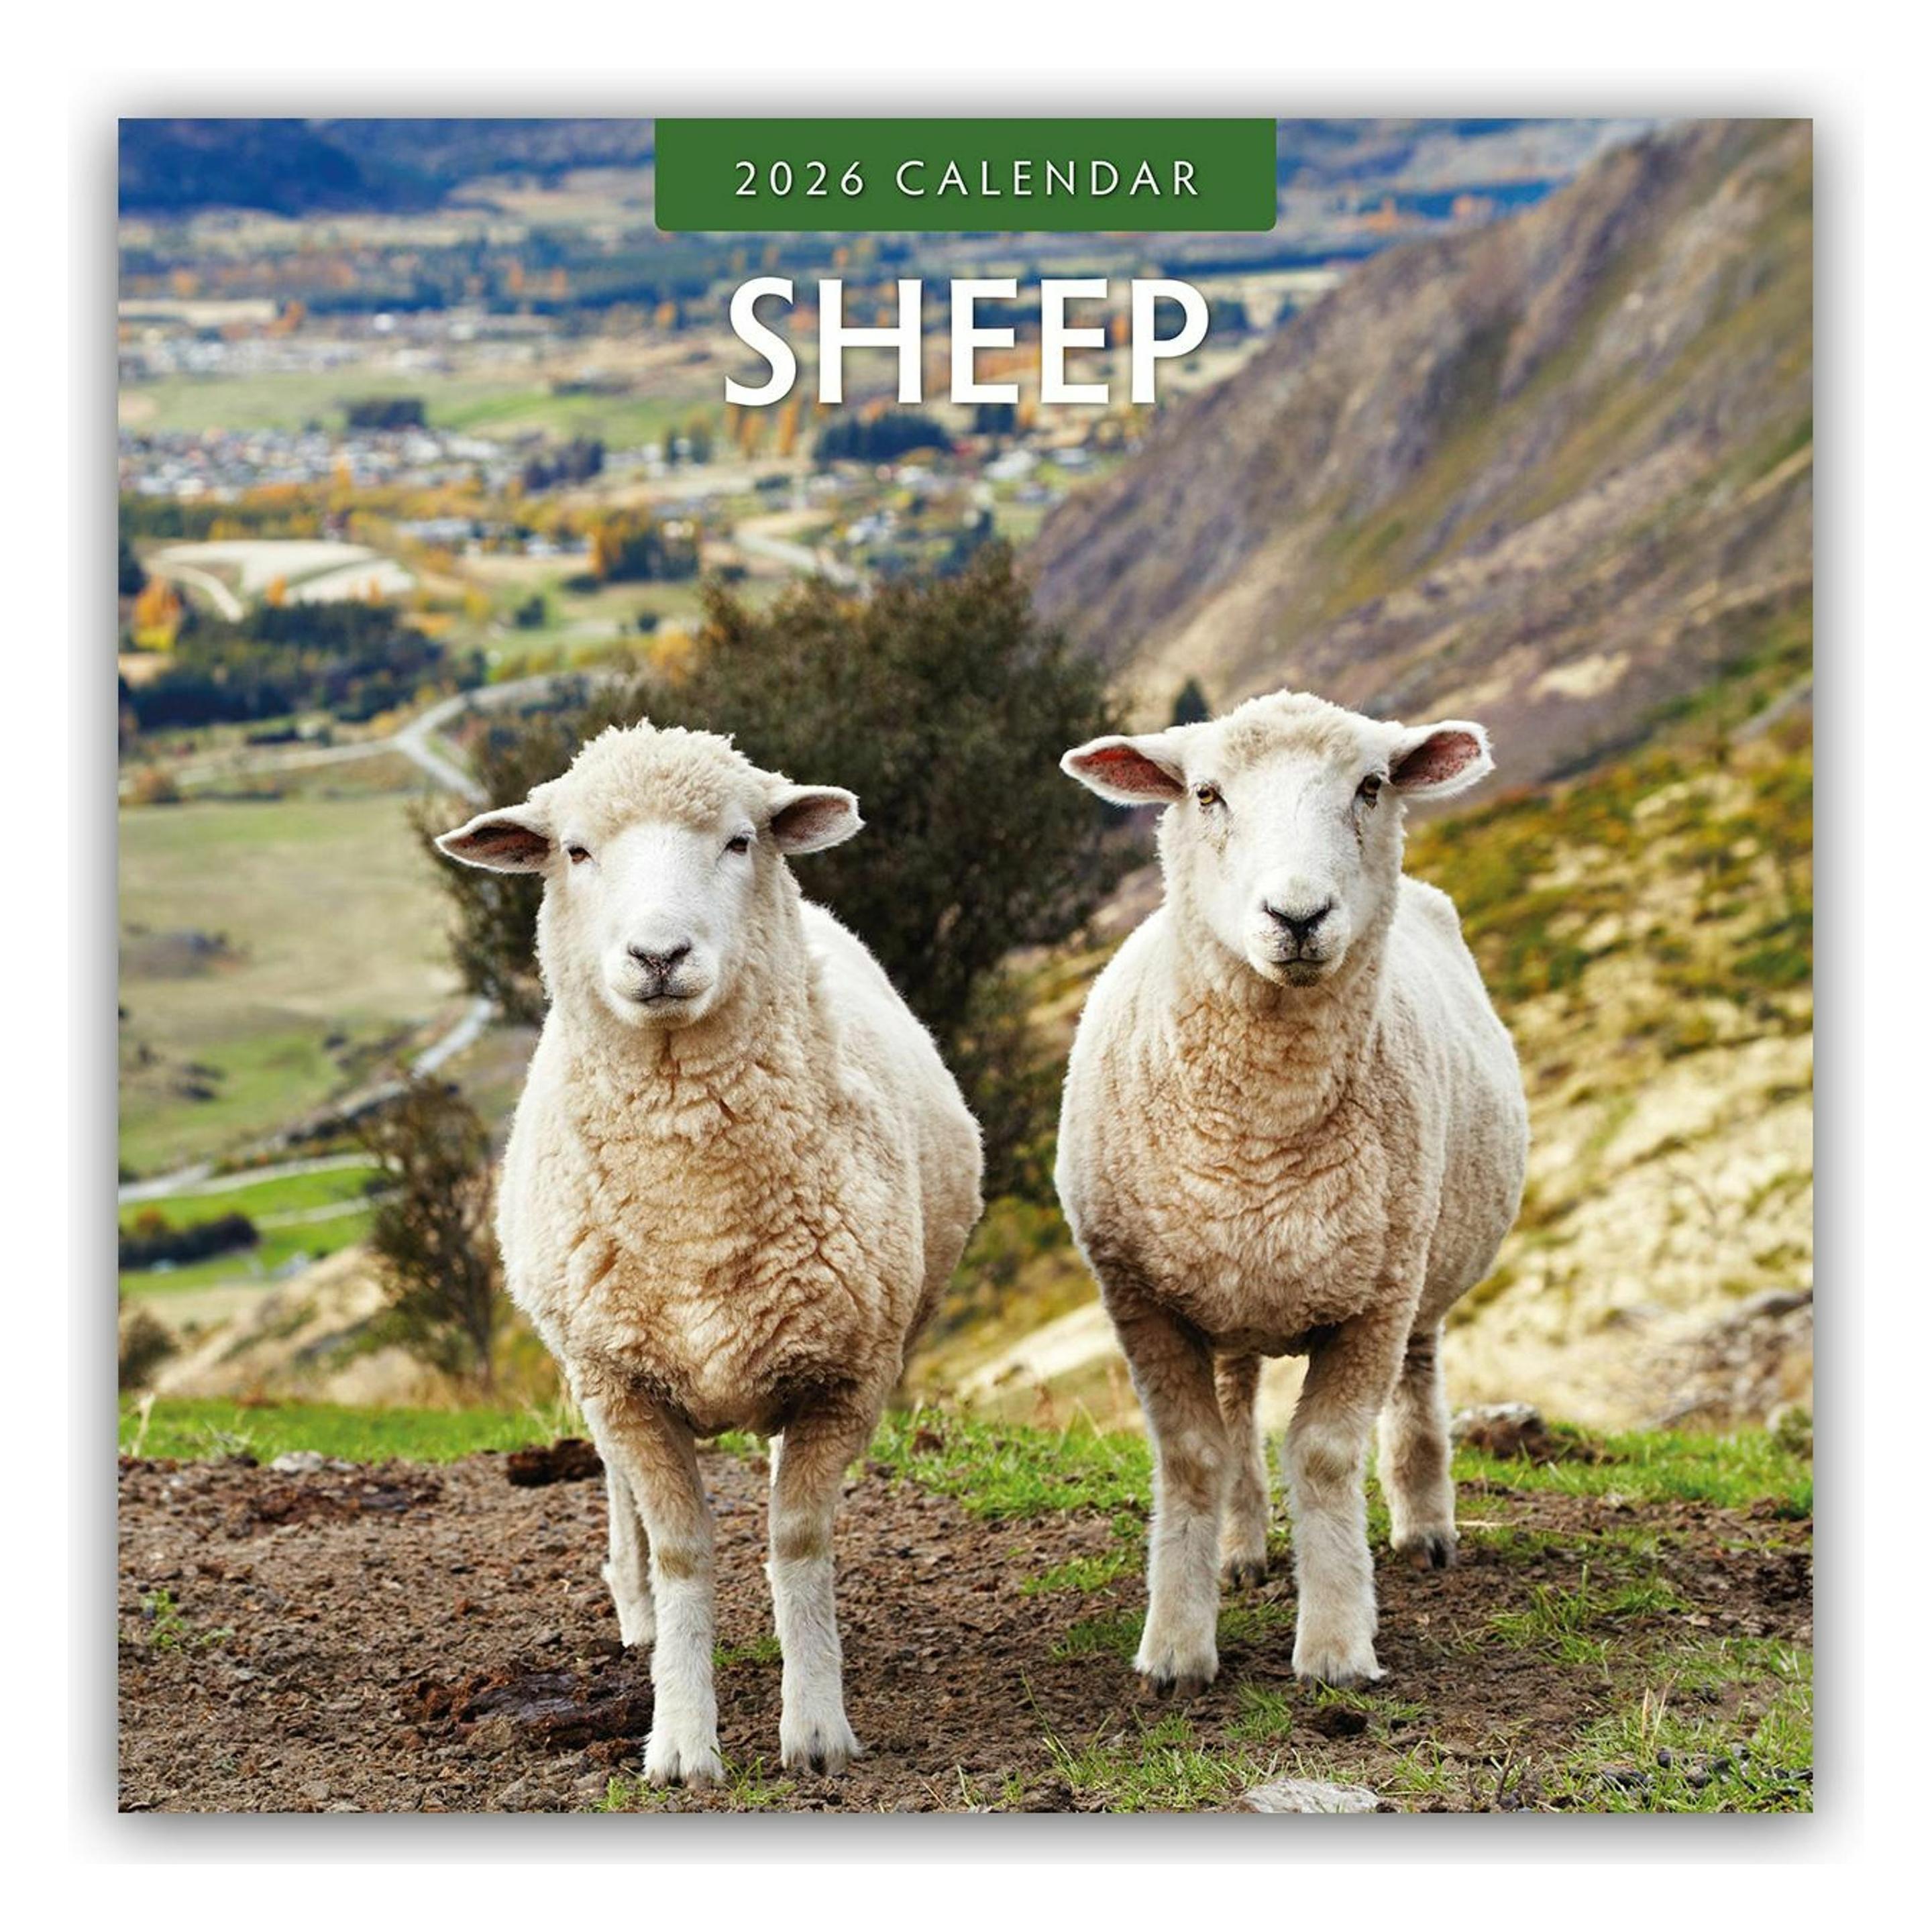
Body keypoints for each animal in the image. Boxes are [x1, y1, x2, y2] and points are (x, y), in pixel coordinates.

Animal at [437, 721, 983, 1785]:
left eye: (739, 841)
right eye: (575, 851)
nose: (659, 955)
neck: (698, 1215)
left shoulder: (845, 1374)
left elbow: (799, 1536)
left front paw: (815, 1727)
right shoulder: (621, 1382)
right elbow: (683, 1547)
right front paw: (682, 1739)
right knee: (622, 1504)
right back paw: (638, 1611)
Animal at [1055, 690, 1528, 1691]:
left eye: (1372, 785)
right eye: (1205, 793)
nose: (1299, 914)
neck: (1264, 1136)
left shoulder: (1376, 1300)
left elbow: (1323, 1455)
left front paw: (1338, 1644)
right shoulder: (1142, 1299)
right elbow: (1194, 1455)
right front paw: (1177, 1645)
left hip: (1422, 1264)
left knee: (1418, 1382)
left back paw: (1426, 1528)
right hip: (1228, 1286)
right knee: (1237, 1409)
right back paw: (1240, 1550)